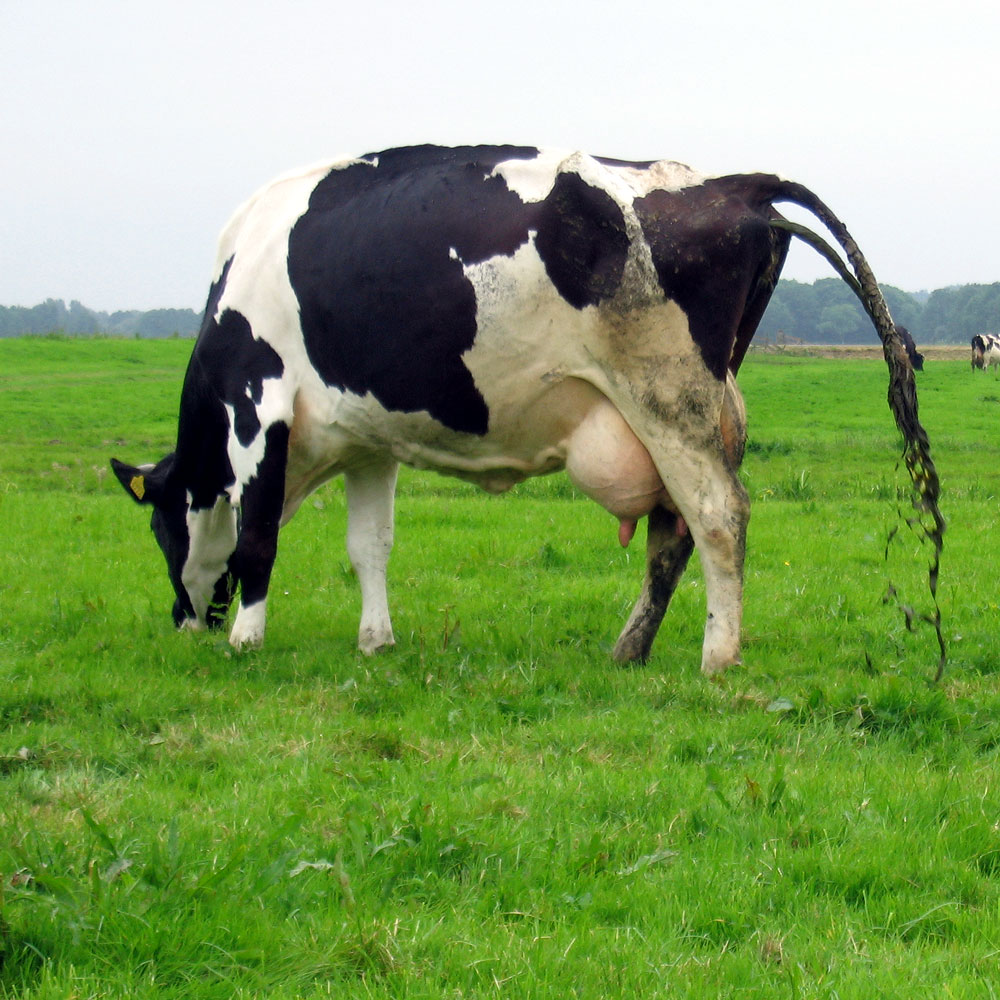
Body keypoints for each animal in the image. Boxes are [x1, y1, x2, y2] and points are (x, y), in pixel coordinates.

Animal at [112, 144, 941, 676]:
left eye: (158, 528)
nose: (183, 622)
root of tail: (729, 183)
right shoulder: (370, 440)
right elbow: (369, 546)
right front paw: (376, 640)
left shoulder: (259, 404)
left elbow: (254, 536)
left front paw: (245, 640)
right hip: (685, 407)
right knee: (672, 533)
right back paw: (629, 650)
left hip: (669, 397)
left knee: (717, 517)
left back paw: (717, 656)